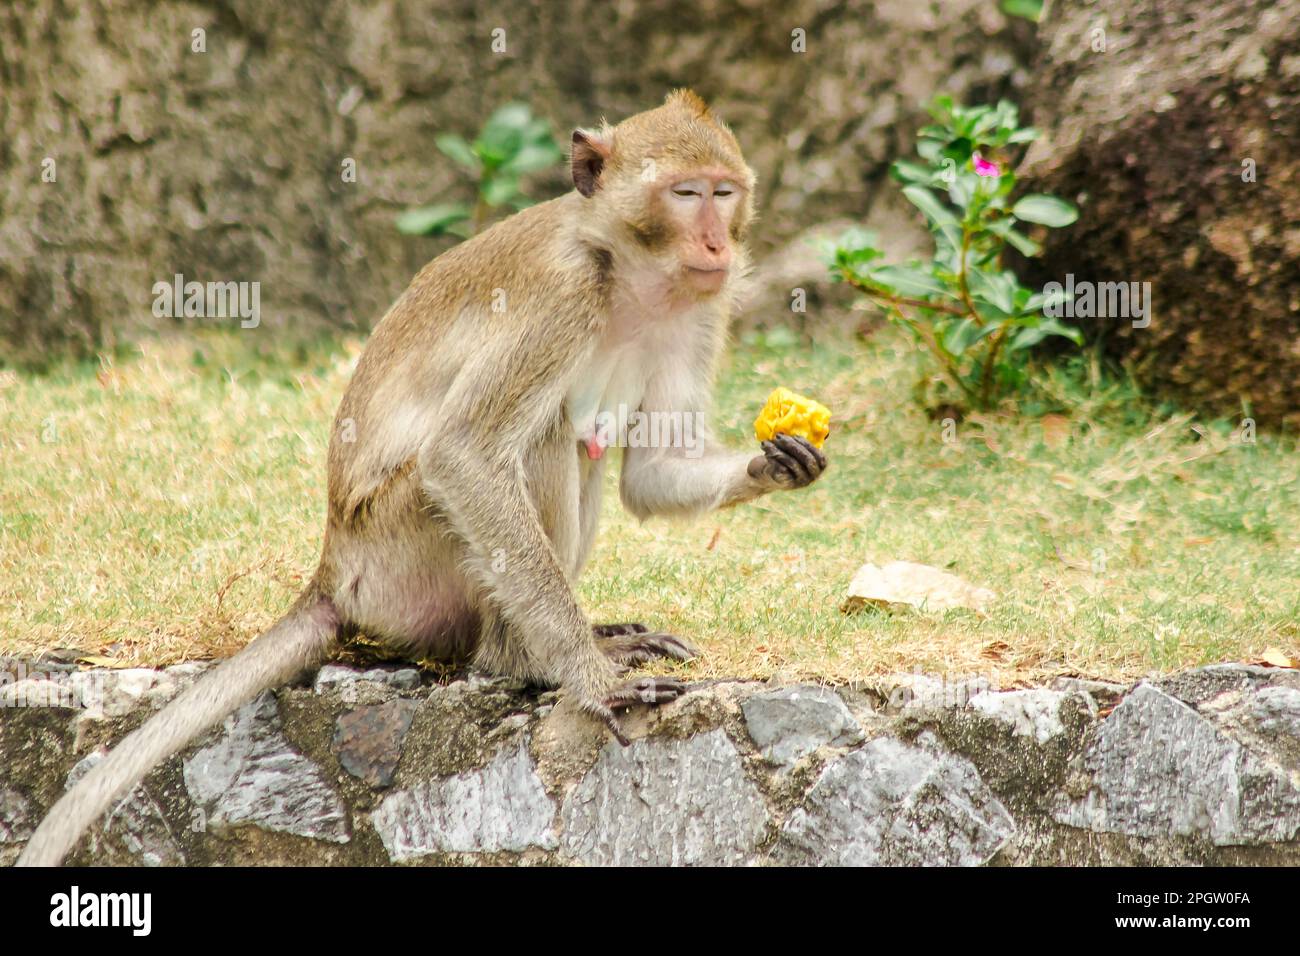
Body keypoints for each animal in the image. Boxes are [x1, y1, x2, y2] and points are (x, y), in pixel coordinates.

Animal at [17, 90, 827, 866]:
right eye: (685, 194)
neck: (627, 274)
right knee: (544, 435)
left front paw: (775, 462)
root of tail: (334, 567)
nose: (718, 242)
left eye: (724, 192)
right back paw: (524, 657)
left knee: (579, 448)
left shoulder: (702, 305)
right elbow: (464, 454)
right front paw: (590, 678)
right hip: (401, 551)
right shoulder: (561, 296)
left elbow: (655, 474)